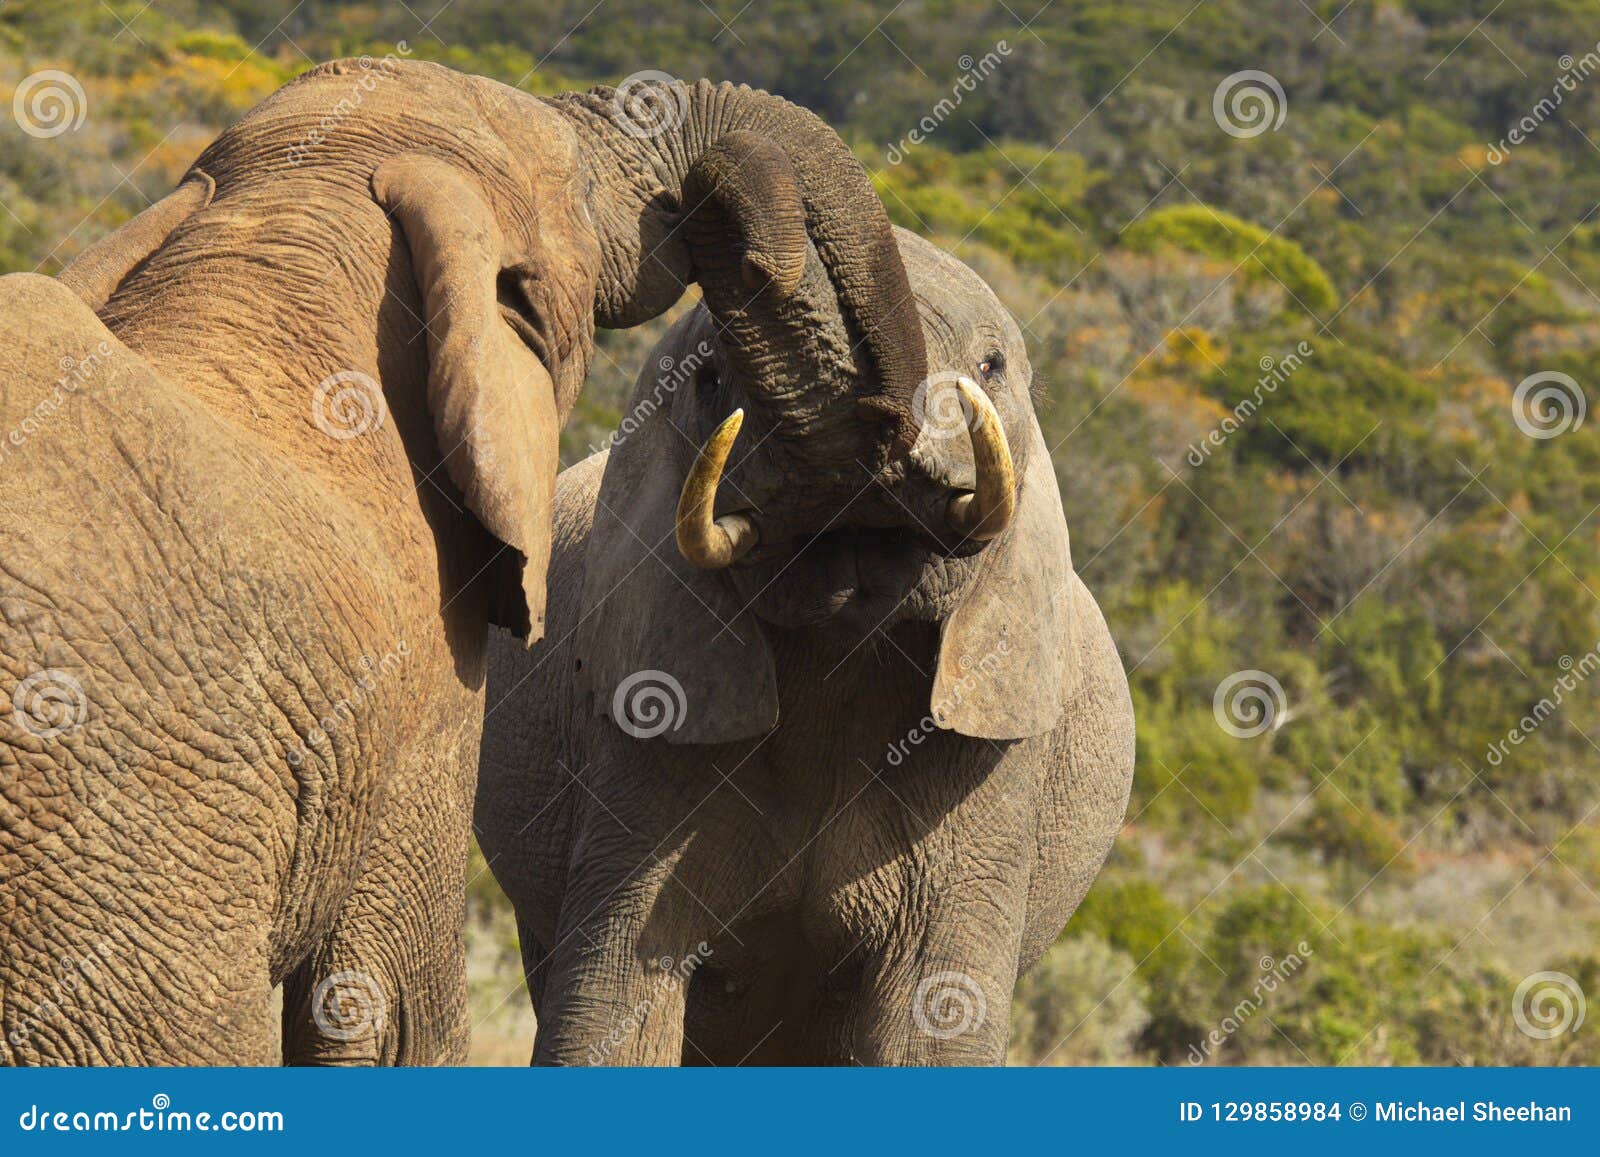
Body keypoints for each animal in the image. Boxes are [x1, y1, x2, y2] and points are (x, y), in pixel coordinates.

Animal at [476, 227, 1137, 1065]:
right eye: (709, 380)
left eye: (990, 368)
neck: (842, 641)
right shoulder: (641, 711)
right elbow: (613, 1002)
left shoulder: (992, 767)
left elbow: (937, 1018)